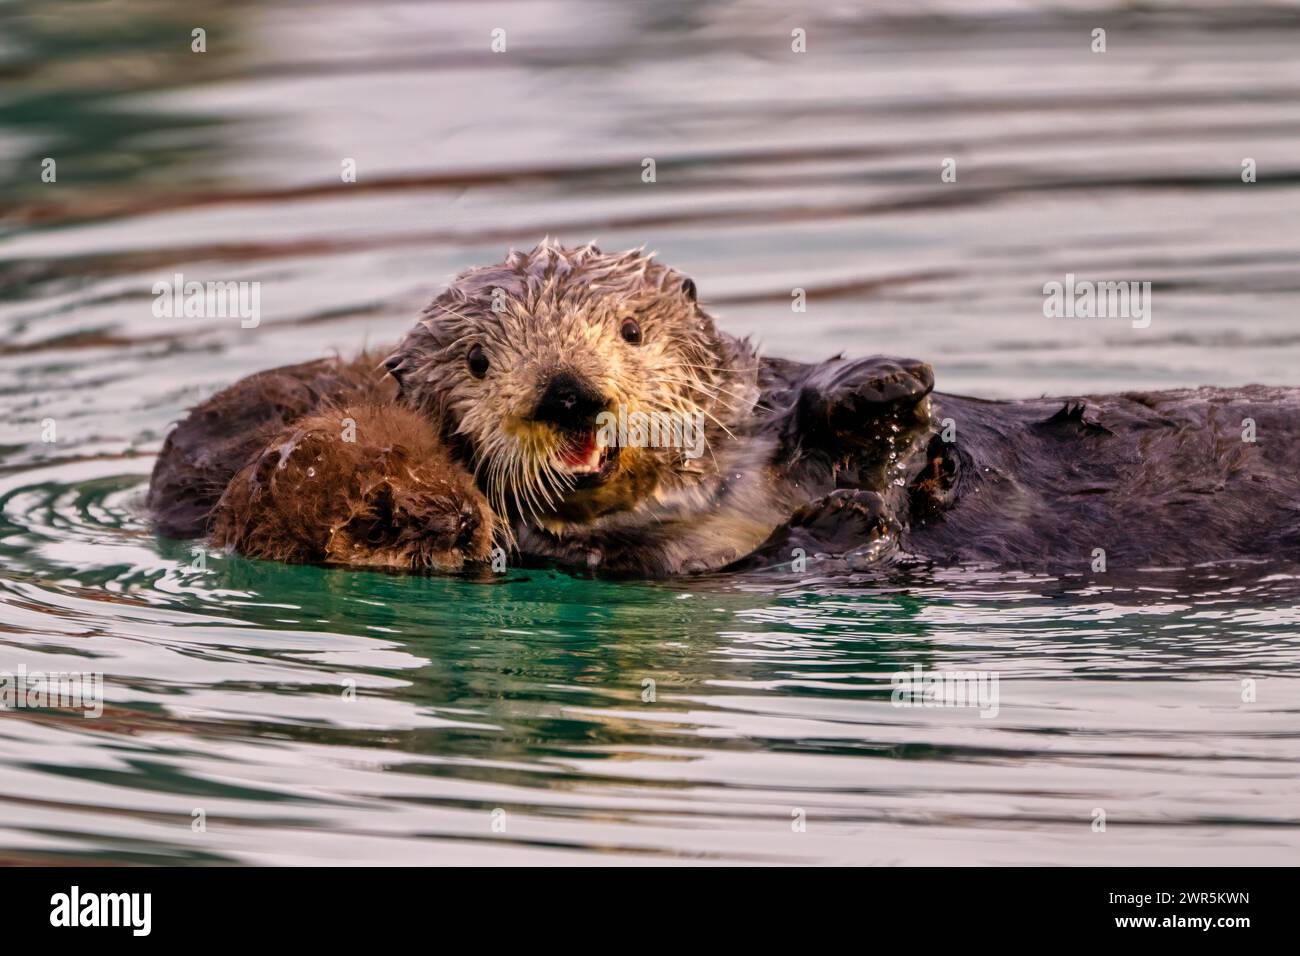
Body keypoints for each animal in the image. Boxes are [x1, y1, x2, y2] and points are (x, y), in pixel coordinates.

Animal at [148, 240, 1300, 577]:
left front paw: (880, 378)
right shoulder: (670, 556)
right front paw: (874, 415)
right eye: (478, 361)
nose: (566, 390)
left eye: (628, 331)